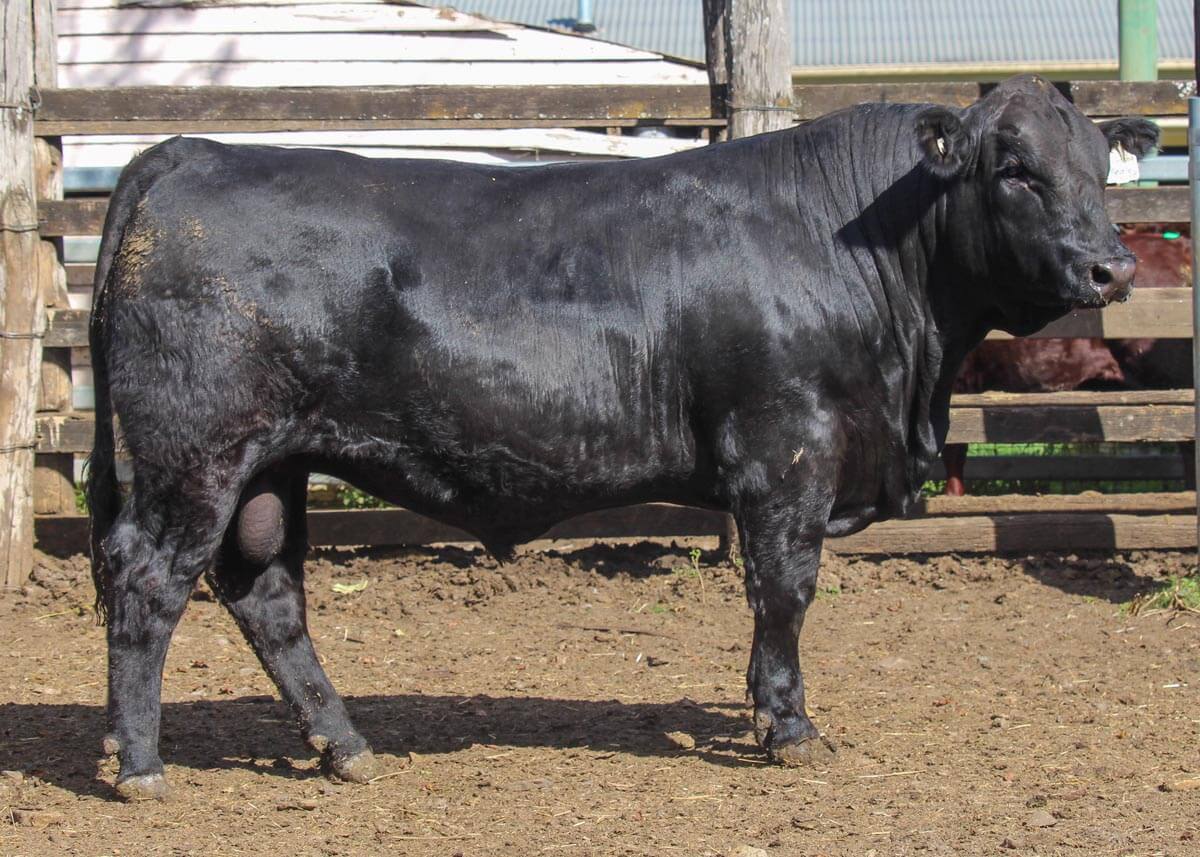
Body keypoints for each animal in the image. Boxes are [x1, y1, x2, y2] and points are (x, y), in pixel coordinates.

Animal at [86, 75, 1157, 800]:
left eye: (1098, 170)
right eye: (1013, 170)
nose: (1111, 268)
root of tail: (188, 150)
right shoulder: (786, 449)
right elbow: (785, 590)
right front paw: (788, 723)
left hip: (271, 465)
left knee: (266, 594)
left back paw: (344, 746)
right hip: (194, 455)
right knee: (148, 579)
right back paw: (140, 764)